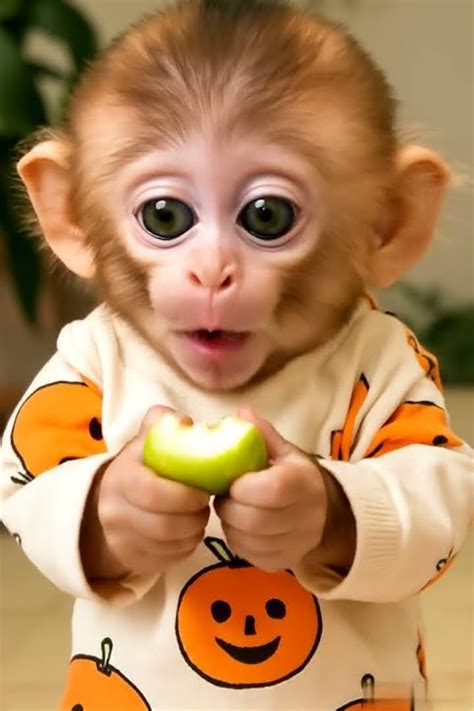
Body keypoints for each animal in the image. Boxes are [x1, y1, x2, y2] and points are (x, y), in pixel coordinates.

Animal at [1, 1, 472, 709]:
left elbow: (432, 482)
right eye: (165, 217)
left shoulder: (404, 361)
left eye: (266, 216)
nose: (212, 274)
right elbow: (31, 488)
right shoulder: (68, 359)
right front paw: (128, 503)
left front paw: (300, 503)